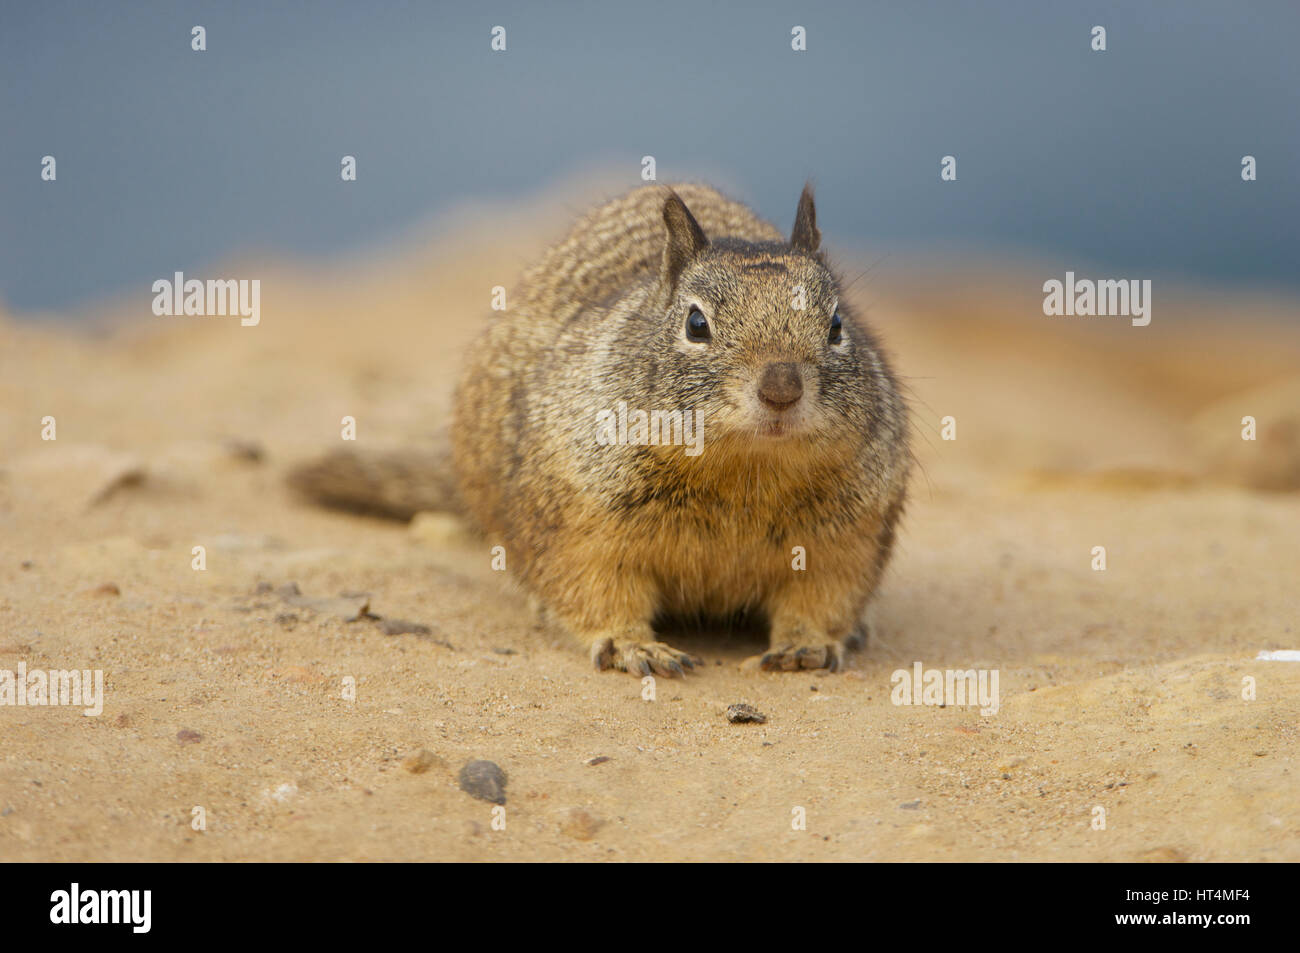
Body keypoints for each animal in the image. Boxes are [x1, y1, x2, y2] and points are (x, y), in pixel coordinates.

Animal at [289, 183, 911, 676]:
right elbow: (596, 591)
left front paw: (809, 645)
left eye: (837, 324)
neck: (743, 470)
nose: (782, 389)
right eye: (696, 323)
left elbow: (822, 598)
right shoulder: (580, 523)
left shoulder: (848, 538)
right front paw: (633, 646)